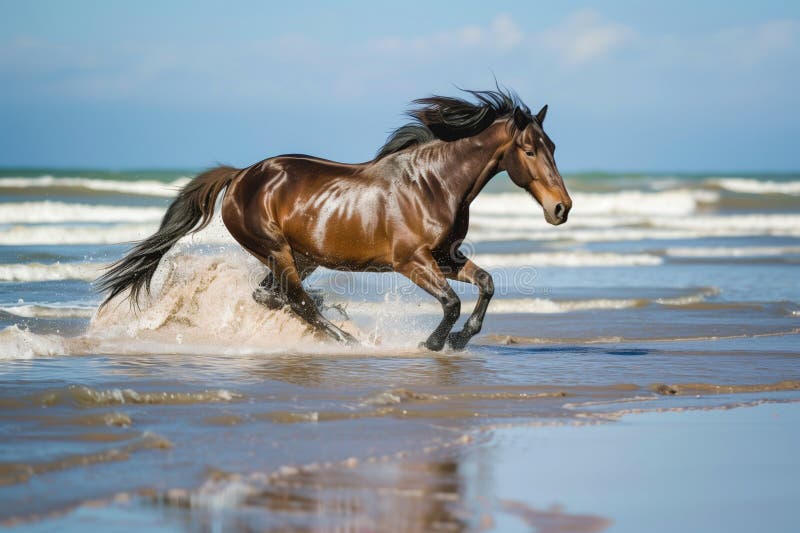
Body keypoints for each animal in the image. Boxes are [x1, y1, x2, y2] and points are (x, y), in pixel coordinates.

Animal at [97, 88, 572, 351]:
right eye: (529, 150)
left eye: (552, 146)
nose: (561, 208)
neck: (432, 184)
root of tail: (241, 175)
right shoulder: (411, 261)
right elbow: (451, 302)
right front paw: (434, 342)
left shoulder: (445, 257)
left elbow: (487, 284)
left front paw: (459, 339)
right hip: (278, 251)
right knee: (297, 301)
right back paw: (350, 340)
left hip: (303, 256)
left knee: (274, 296)